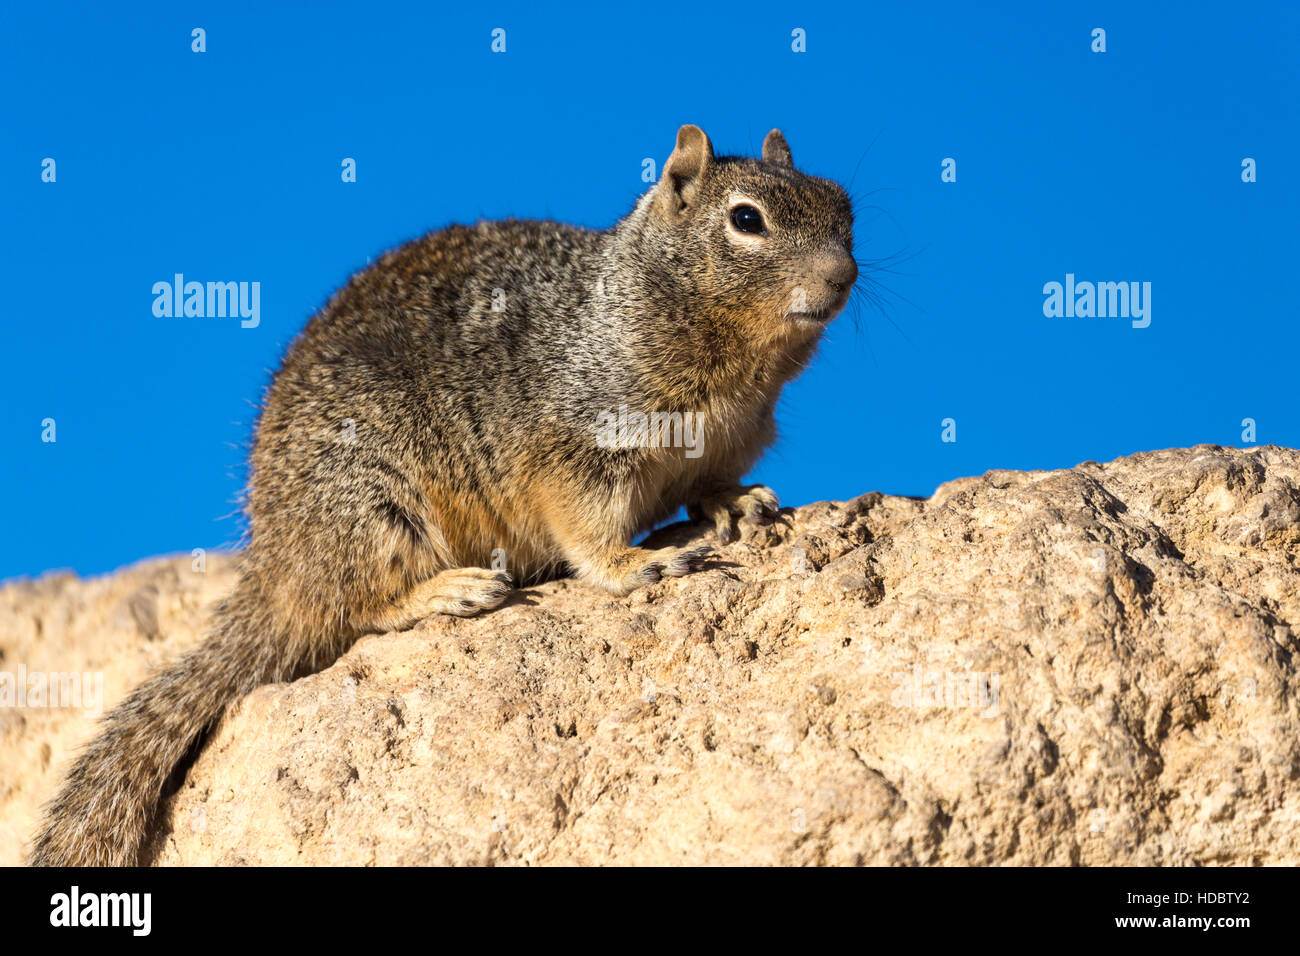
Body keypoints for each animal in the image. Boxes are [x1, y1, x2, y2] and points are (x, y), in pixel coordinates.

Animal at [29, 125, 858, 866]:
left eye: (845, 209)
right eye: (746, 219)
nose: (844, 276)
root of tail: (273, 566)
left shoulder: (730, 438)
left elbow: (712, 483)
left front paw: (737, 502)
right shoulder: (578, 446)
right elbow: (587, 531)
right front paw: (636, 565)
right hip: (375, 508)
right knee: (352, 610)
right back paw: (448, 592)